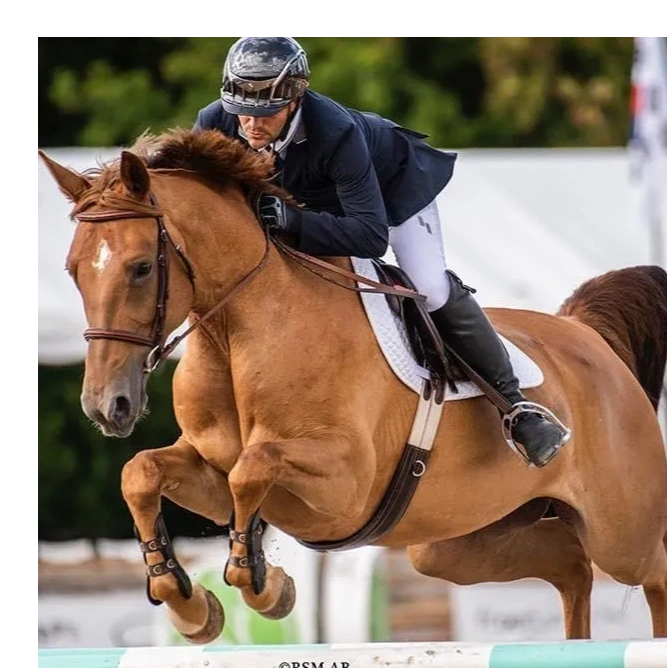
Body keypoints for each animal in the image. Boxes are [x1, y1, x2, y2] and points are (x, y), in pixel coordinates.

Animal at [38, 127, 667, 644]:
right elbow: (142, 472)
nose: (108, 406)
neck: (239, 332)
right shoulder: (211, 472)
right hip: (454, 541)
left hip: (622, 532)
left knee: (647, 570)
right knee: (569, 565)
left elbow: (253, 468)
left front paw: (263, 587)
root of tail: (586, 334)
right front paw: (192, 607)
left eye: (142, 267)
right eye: (73, 271)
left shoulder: (343, 487)